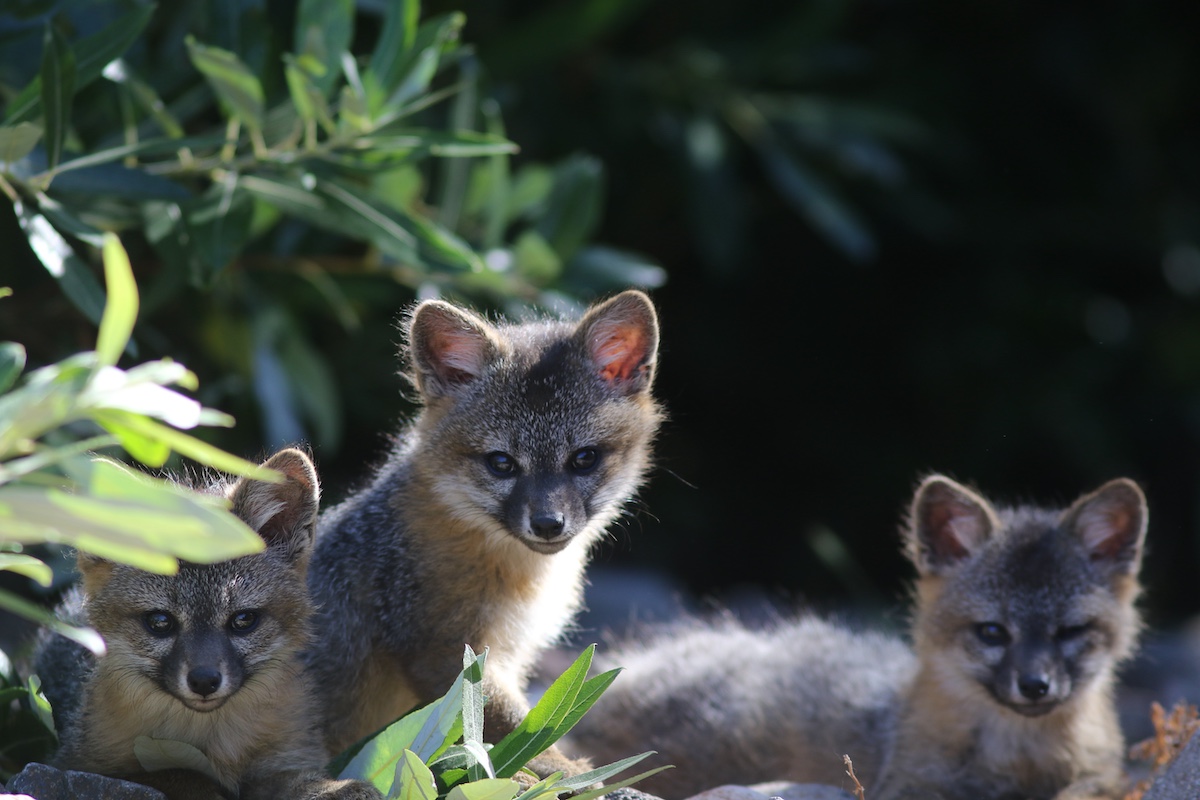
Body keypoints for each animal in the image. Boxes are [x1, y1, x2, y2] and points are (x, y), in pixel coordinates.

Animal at [33, 449, 381, 800]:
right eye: (160, 622)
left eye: (243, 620)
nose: (203, 681)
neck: (210, 740)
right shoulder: (83, 765)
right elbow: (176, 773)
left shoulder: (286, 760)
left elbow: (294, 781)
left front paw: (334, 788)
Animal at [305, 290, 663, 779]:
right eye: (501, 463)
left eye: (584, 459)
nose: (548, 523)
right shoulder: (446, 652)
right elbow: (516, 727)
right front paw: (566, 768)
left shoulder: (506, 653)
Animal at [569, 474, 1148, 800]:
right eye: (992, 632)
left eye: (1071, 631)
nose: (1035, 685)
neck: (1019, 758)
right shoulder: (911, 786)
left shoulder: (1106, 773)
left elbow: (1089, 788)